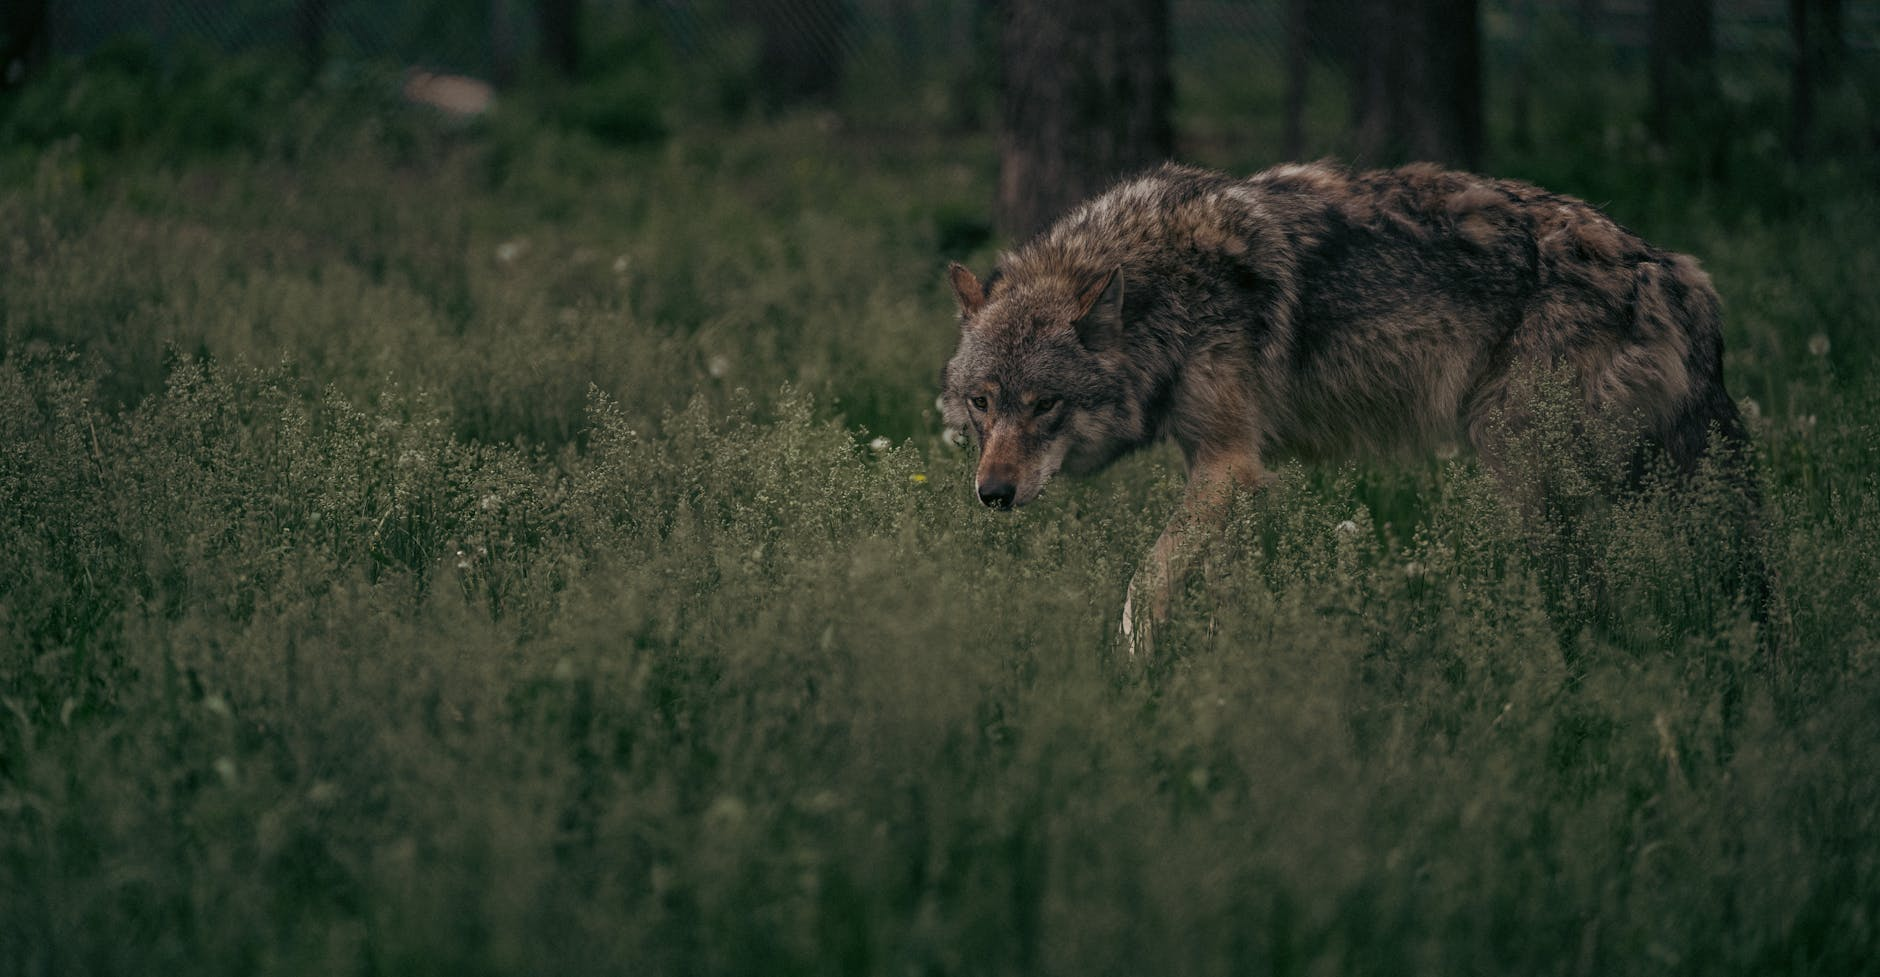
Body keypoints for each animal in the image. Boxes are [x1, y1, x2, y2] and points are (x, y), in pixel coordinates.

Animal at [939, 161, 1763, 652]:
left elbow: (1143, 588)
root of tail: (1670, 270)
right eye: (982, 403)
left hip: (1529, 461)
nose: (992, 494)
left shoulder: (1231, 466)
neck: (1160, 293)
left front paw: (1135, 677)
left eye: (1045, 403)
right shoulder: (1221, 473)